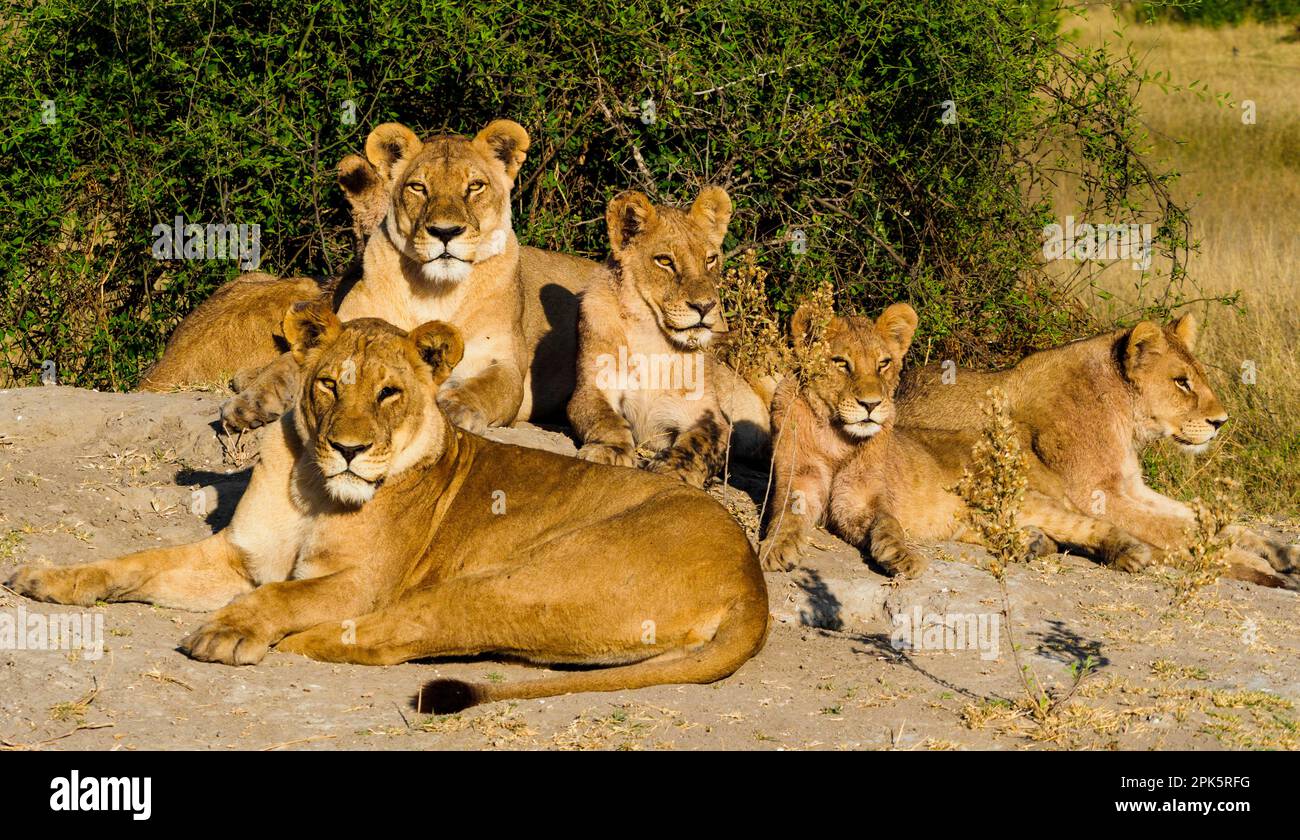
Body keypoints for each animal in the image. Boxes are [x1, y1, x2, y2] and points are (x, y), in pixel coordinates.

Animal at [7, 301, 769, 711]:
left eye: (389, 393)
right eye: (329, 385)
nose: (348, 448)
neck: (313, 486)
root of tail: (752, 582)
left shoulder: (360, 581)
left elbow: (281, 596)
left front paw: (231, 630)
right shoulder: (238, 558)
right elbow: (137, 560)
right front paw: (50, 578)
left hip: (521, 576)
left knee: (393, 635)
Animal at [142, 119, 600, 434]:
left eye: (475, 187)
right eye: (418, 188)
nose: (445, 232)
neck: (433, 289)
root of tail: (159, 370)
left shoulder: (504, 365)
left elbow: (487, 389)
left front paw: (453, 408)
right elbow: (282, 369)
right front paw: (251, 402)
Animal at [568, 188, 771, 488]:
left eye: (710, 259)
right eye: (664, 261)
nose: (705, 306)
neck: (652, 335)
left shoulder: (708, 416)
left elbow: (698, 443)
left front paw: (676, 469)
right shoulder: (590, 389)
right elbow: (605, 419)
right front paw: (610, 450)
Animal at [760, 304, 1153, 578]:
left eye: (883, 363)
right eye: (841, 363)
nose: (870, 404)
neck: (837, 437)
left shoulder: (864, 501)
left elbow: (888, 526)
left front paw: (904, 557)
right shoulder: (798, 483)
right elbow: (785, 517)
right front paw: (775, 550)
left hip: (1023, 502)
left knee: (1089, 525)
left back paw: (1131, 552)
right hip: (978, 518)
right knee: (1044, 538)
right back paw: (1029, 543)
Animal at [893, 313, 1299, 587]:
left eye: (1199, 377)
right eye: (1181, 382)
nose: (1221, 421)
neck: (1123, 415)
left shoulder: (1130, 486)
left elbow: (1209, 520)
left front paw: (1281, 552)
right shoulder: (1093, 496)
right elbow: (1176, 529)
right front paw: (1256, 564)